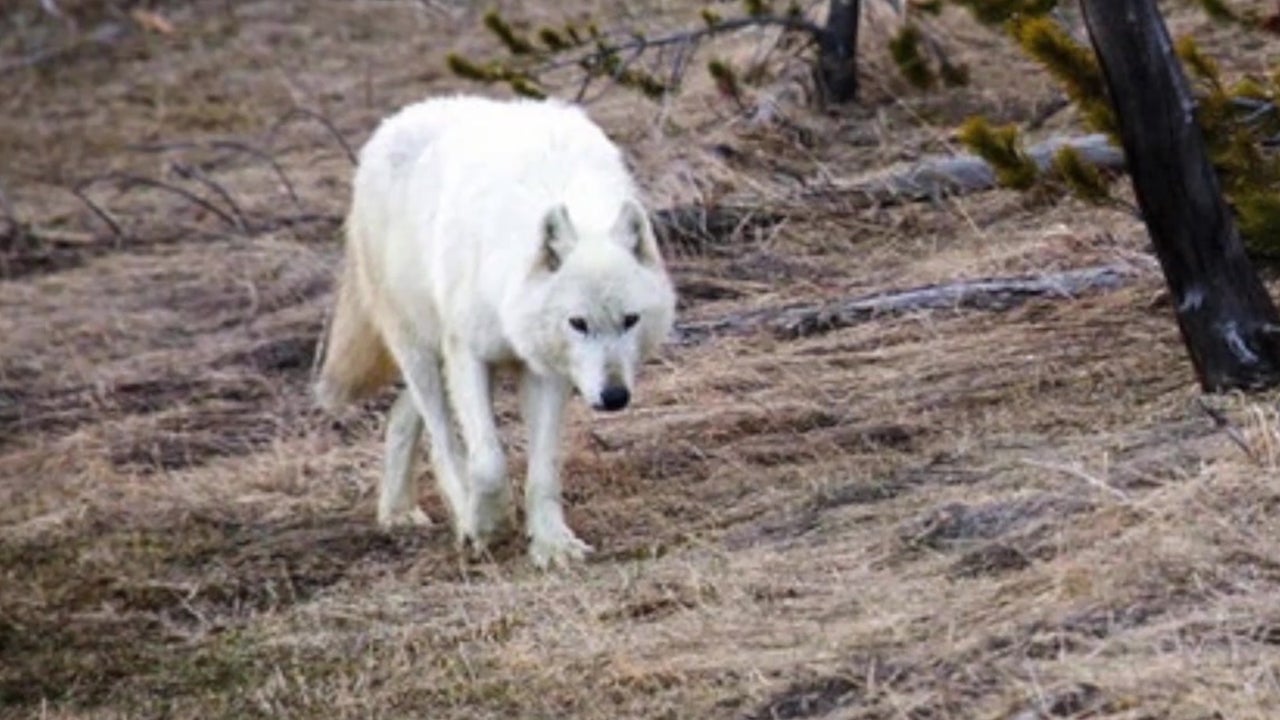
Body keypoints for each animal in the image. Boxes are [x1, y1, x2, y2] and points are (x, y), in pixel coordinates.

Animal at [314, 95, 677, 568]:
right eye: (578, 323)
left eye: (630, 320)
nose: (614, 397)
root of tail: (397, 119)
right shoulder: (469, 355)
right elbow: (488, 461)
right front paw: (488, 525)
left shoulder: (546, 370)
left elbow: (544, 469)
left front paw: (552, 545)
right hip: (420, 349)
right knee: (443, 442)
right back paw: (461, 517)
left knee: (401, 415)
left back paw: (398, 511)